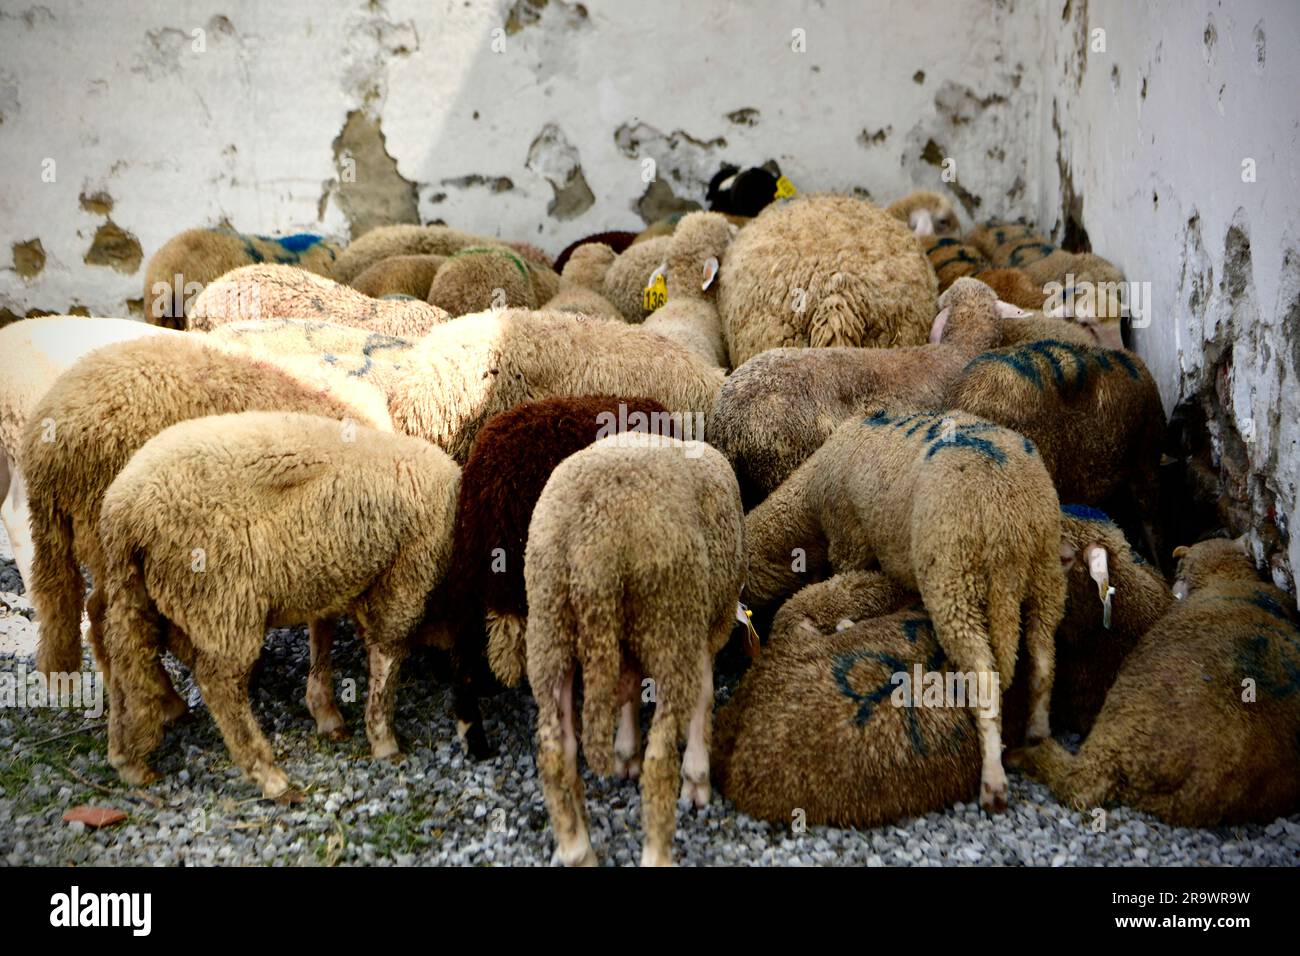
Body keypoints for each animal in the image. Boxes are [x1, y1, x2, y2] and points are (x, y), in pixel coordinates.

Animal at [22, 333, 392, 739]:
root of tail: (41, 442)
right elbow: (322, 625)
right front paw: (326, 709)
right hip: (107, 532)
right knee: (105, 618)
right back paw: (168, 702)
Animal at [99, 411, 459, 800]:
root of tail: (122, 507)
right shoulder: (408, 573)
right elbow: (386, 658)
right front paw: (382, 738)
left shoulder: (330, 573)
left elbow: (322, 631)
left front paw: (325, 711)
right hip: (221, 597)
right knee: (217, 682)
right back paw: (268, 775)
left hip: (133, 591)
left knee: (125, 665)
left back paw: (128, 760)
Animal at [523, 431, 745, 866]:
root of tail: (592, 548)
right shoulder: (706, 623)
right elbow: (705, 695)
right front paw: (697, 777)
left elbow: (629, 694)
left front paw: (626, 751)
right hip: (670, 616)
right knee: (660, 758)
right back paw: (657, 852)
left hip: (549, 626)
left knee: (555, 749)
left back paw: (577, 848)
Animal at [744, 407, 1066, 811]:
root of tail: (1010, 521)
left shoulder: (848, 536)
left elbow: (845, 577)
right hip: (1045, 574)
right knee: (1043, 658)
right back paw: (1038, 731)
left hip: (953, 576)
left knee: (984, 676)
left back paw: (993, 780)